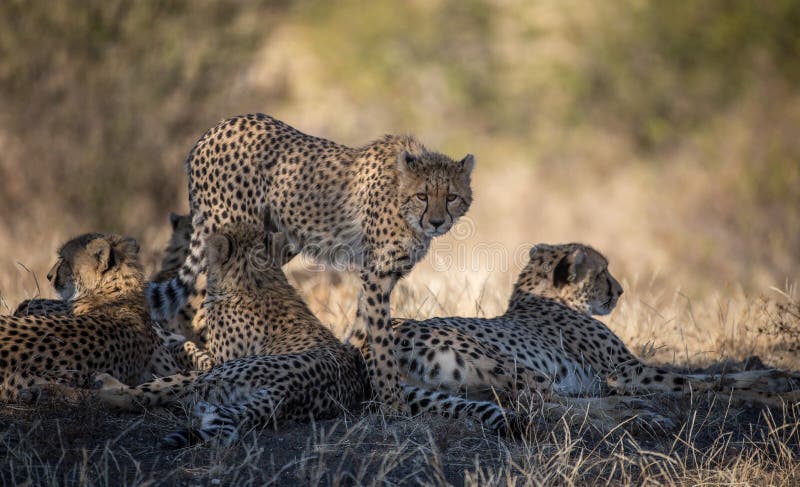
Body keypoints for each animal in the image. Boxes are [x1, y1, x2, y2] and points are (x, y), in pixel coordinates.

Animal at [96, 224, 525, 447]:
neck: (257, 276)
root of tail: (289, 390)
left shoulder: (218, 358)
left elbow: (186, 349)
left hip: (214, 377)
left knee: (154, 393)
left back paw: (107, 388)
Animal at [146, 113, 476, 411]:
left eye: (451, 197)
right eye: (422, 195)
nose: (436, 222)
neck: (400, 198)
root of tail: (210, 132)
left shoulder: (383, 275)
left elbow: (362, 327)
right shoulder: (377, 274)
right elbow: (381, 340)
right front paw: (393, 402)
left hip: (276, 239)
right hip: (233, 232)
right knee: (206, 297)